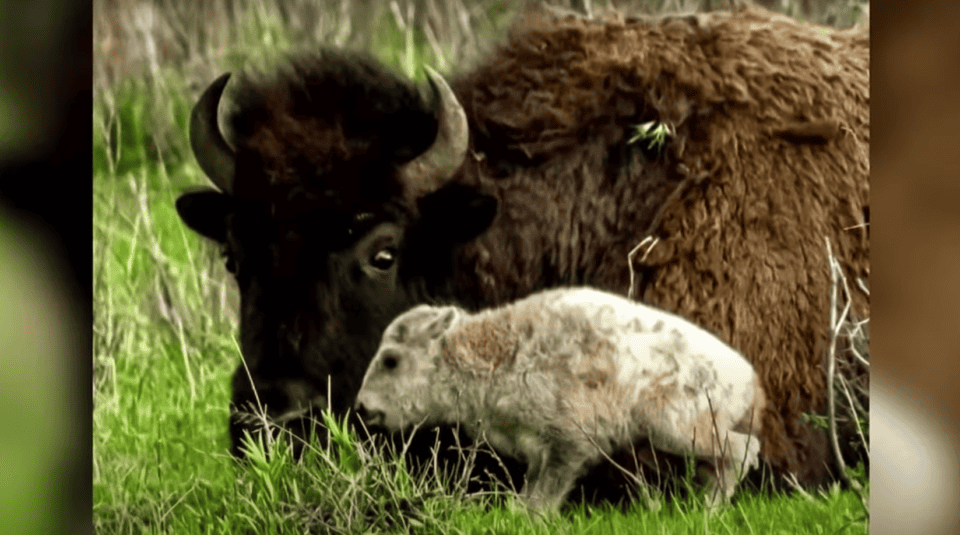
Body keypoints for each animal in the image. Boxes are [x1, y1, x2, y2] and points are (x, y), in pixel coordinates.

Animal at [355, 287, 766, 512]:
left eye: (391, 360)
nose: (362, 407)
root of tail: (751, 381)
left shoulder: (568, 443)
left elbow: (545, 495)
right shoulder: (540, 451)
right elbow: (532, 489)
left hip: (677, 430)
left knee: (743, 450)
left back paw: (708, 512)